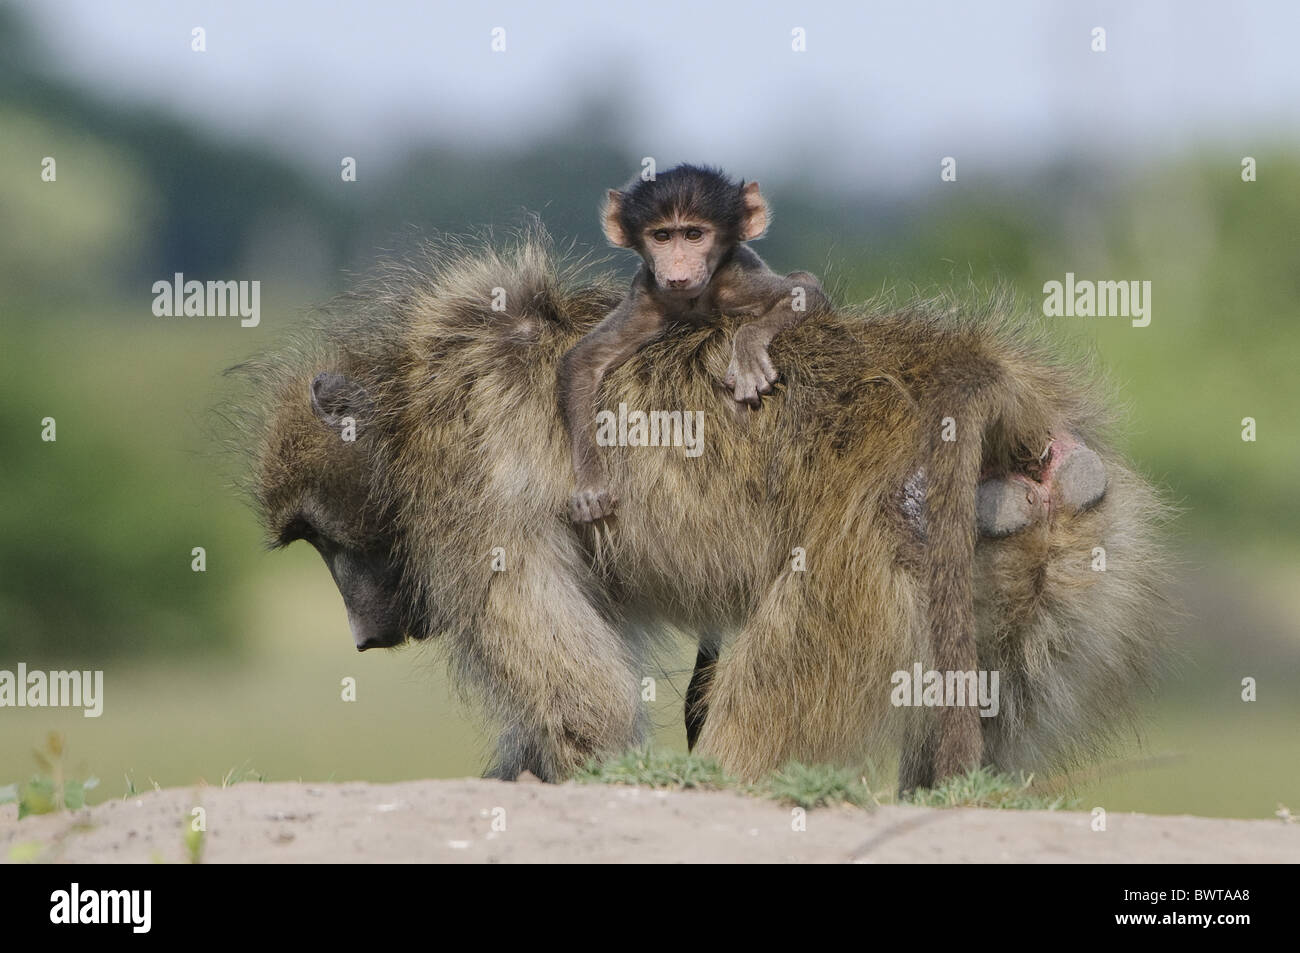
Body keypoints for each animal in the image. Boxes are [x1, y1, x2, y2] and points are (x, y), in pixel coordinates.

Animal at [236, 227, 1169, 790]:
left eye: (322, 538)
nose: (362, 631)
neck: (412, 394)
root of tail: (961, 369)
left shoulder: (465, 491)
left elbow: (587, 711)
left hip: (861, 556)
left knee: (762, 705)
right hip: (1050, 544)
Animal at [558, 164, 830, 523]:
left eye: (693, 235)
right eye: (661, 237)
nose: (677, 273)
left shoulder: (733, 279)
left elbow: (805, 290)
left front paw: (747, 359)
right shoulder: (649, 295)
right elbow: (585, 359)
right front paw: (590, 487)